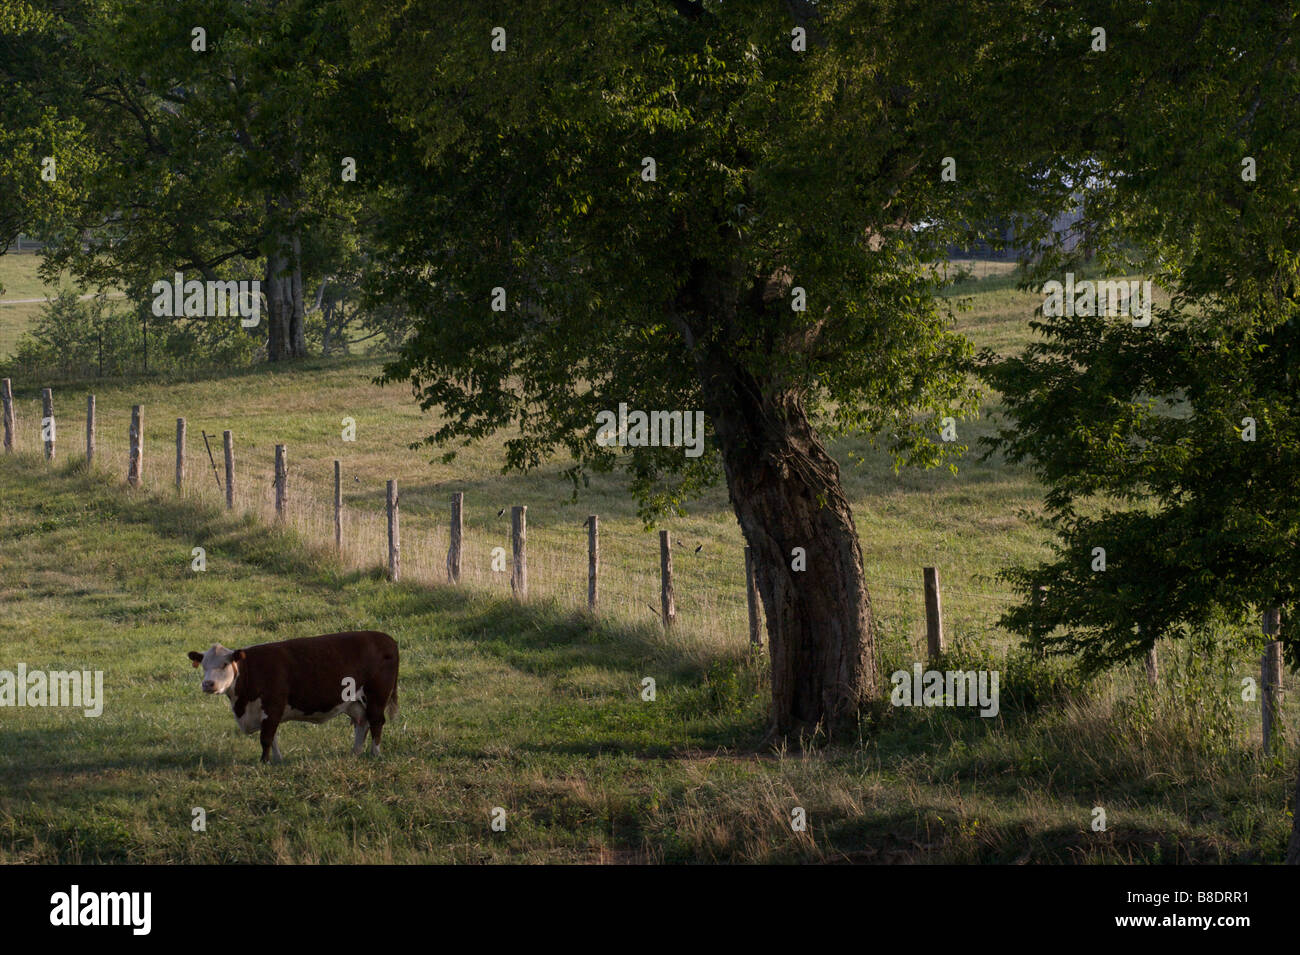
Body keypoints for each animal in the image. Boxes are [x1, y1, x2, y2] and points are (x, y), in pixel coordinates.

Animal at [187, 631, 399, 763]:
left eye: (224, 664)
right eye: (204, 665)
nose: (208, 684)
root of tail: (387, 639)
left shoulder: (272, 707)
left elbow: (266, 738)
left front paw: (263, 762)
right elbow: (272, 737)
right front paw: (277, 760)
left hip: (376, 696)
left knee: (377, 722)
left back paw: (375, 753)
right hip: (354, 702)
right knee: (362, 722)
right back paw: (355, 752)